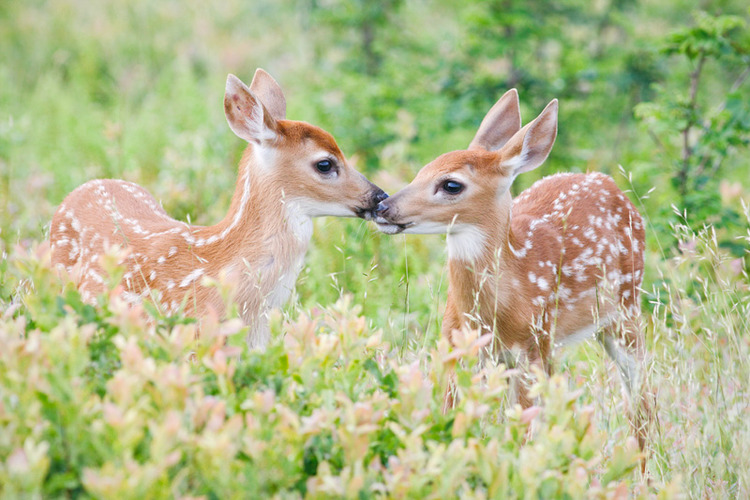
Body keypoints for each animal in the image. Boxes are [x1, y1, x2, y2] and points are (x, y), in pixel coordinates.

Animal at [373, 90, 651, 456]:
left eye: (451, 185)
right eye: (420, 171)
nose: (382, 207)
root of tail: (608, 182)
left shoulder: (531, 344)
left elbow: (522, 430)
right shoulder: (458, 344)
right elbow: (451, 414)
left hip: (624, 309)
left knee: (640, 400)